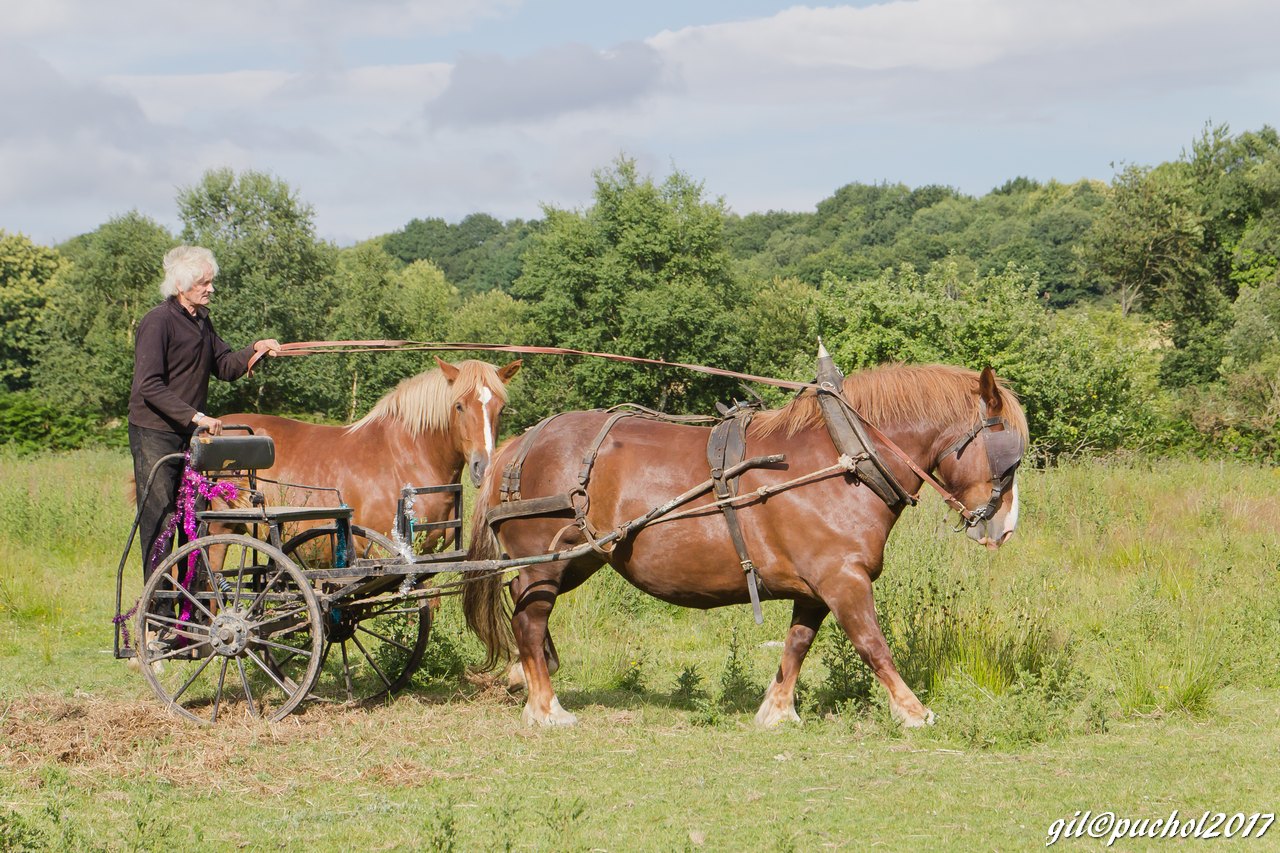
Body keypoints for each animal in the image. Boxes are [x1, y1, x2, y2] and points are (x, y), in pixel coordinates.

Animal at [462, 362, 1027, 728]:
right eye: (1010, 454)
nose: (1004, 528)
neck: (844, 461)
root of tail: (522, 443)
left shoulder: (817, 587)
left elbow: (797, 644)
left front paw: (777, 710)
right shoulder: (843, 580)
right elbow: (872, 643)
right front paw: (912, 710)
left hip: (578, 558)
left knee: (524, 607)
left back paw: (526, 677)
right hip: (546, 562)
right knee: (529, 619)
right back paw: (545, 706)